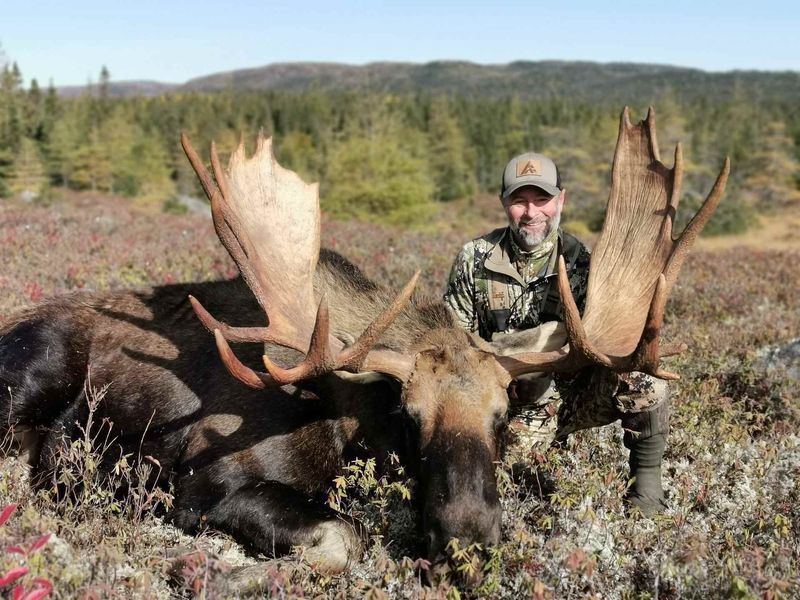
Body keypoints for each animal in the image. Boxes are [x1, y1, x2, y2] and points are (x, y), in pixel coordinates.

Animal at [0, 107, 728, 572]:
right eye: (409, 416)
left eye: (503, 418)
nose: (467, 542)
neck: (344, 419)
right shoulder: (203, 486)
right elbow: (341, 537)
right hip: (35, 372)